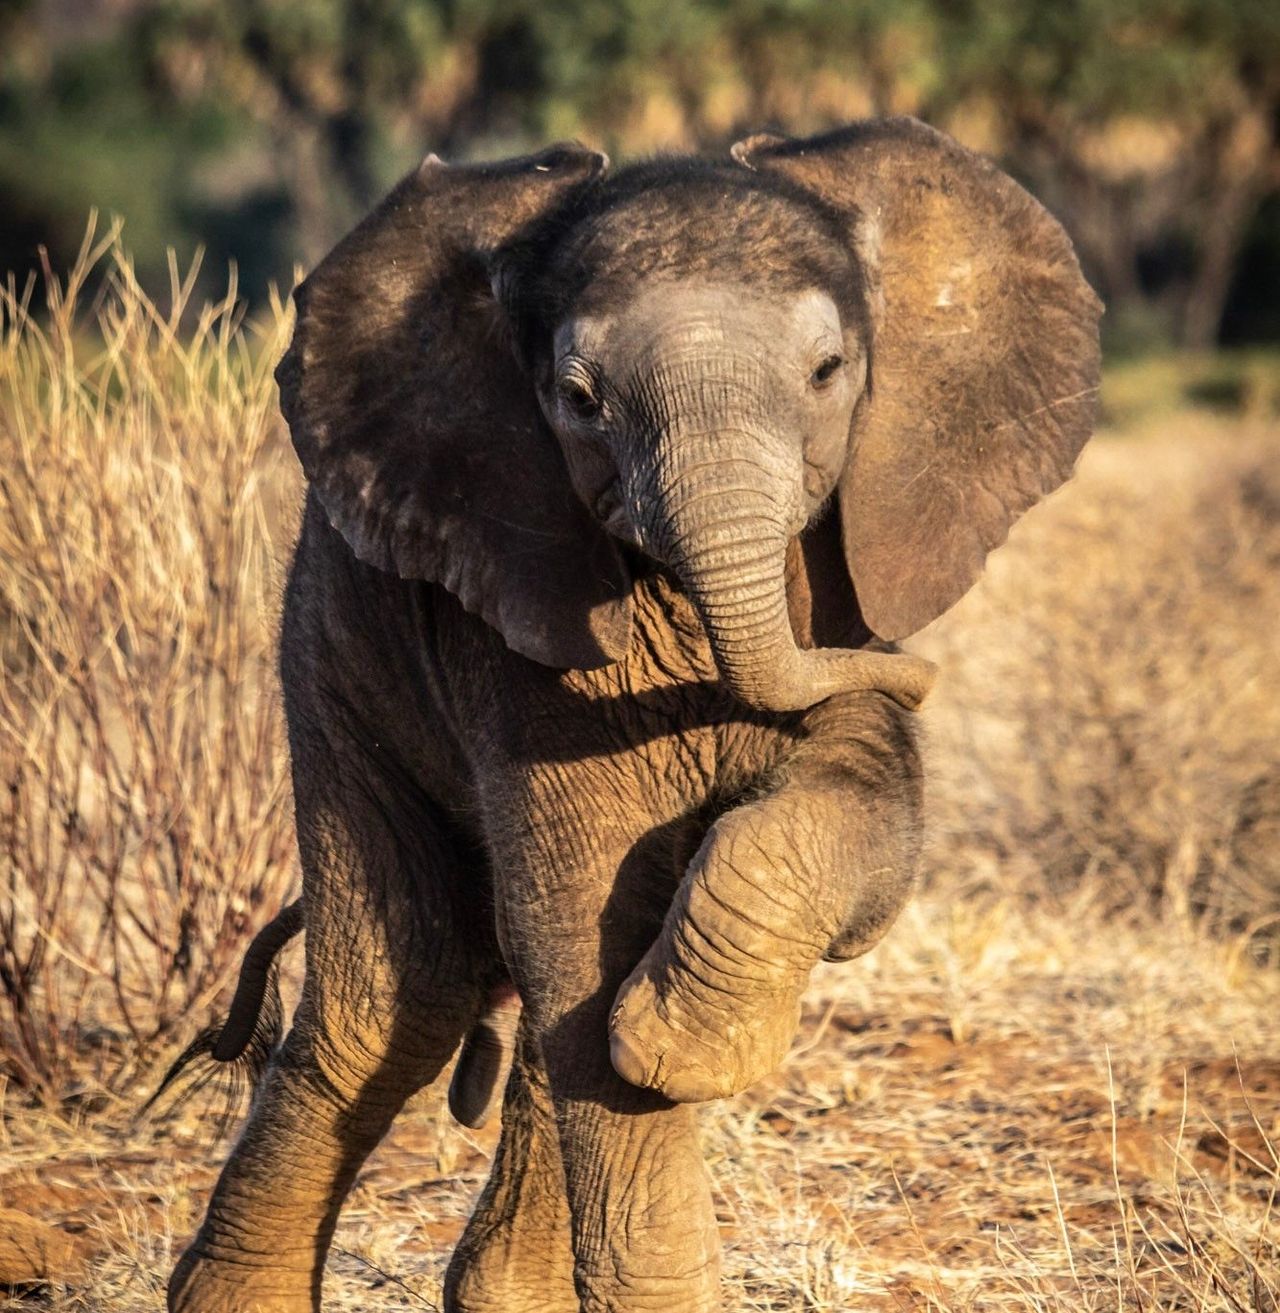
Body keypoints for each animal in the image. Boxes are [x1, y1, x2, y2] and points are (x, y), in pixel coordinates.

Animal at [166, 117, 1101, 1313]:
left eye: (828, 372)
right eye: (577, 397)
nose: (918, 675)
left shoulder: (834, 593)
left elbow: (869, 818)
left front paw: (677, 1040)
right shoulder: (516, 592)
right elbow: (575, 923)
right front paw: (665, 1058)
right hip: (327, 653)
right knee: (400, 995)